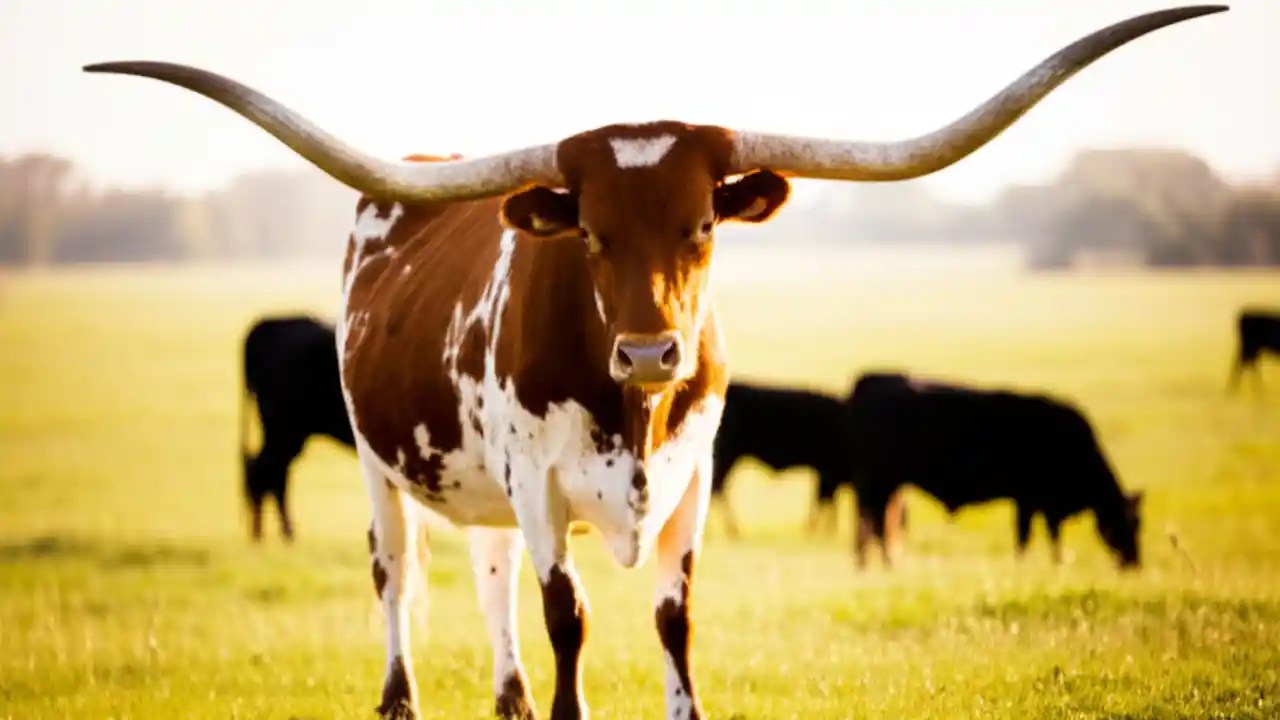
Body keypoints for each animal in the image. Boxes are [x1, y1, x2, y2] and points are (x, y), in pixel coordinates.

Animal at [240, 315, 355, 543]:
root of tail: (266, 325)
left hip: (286, 435)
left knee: (269, 472)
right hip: (283, 432)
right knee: (268, 472)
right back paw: (278, 534)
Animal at [845, 372, 1143, 570]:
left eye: (1139, 523)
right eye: (1124, 522)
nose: (1134, 562)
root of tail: (870, 380)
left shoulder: (1040, 503)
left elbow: (1048, 535)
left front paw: (1055, 562)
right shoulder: (1030, 499)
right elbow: (1026, 536)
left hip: (887, 484)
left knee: (873, 521)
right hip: (881, 482)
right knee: (877, 523)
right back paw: (888, 562)